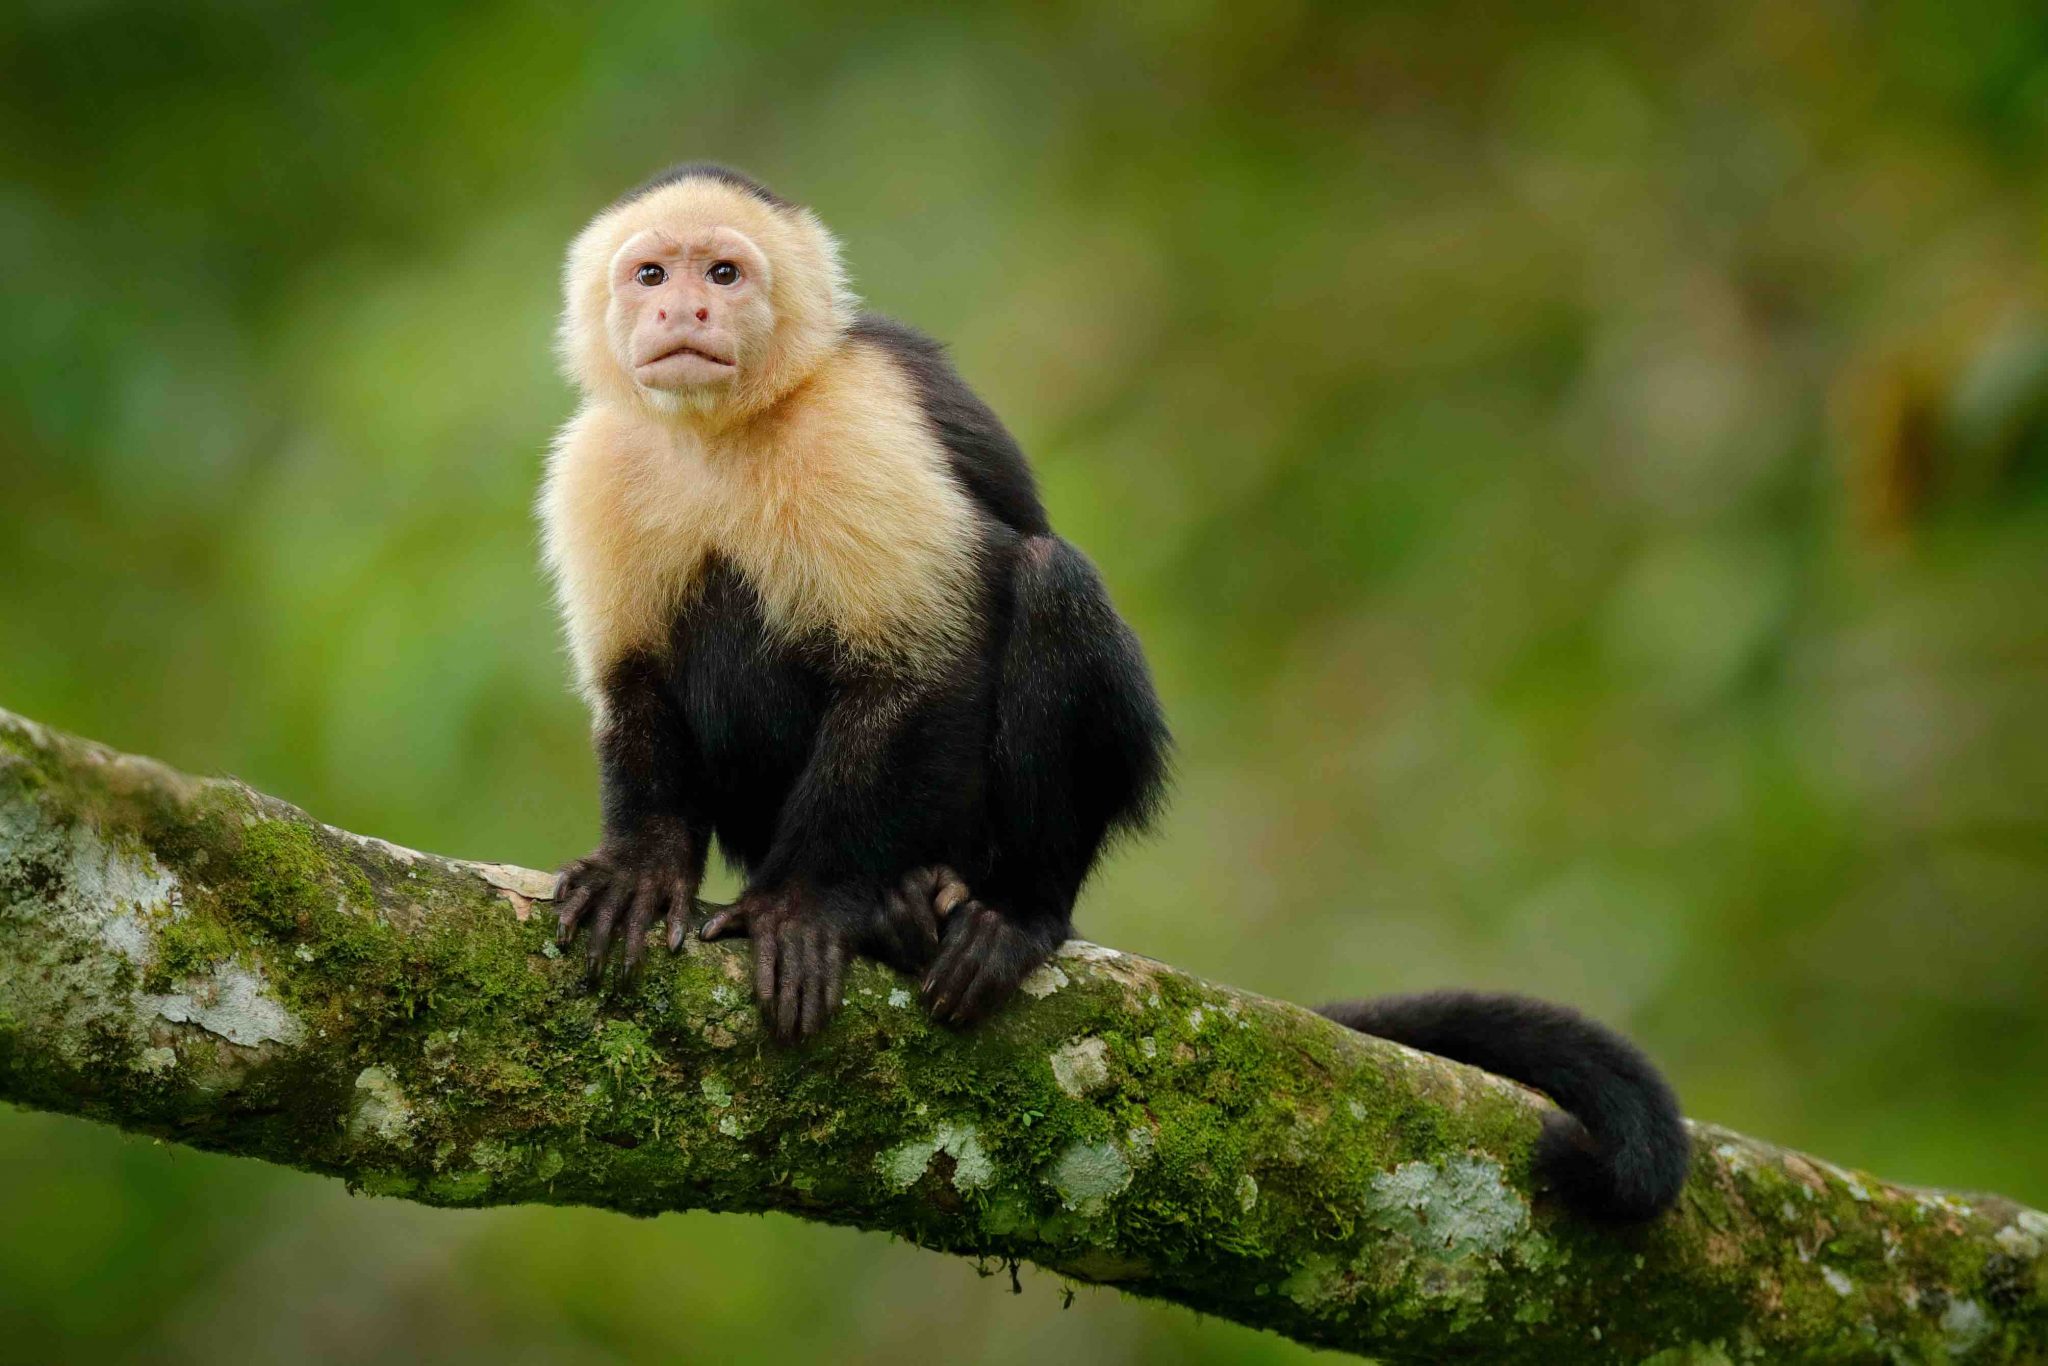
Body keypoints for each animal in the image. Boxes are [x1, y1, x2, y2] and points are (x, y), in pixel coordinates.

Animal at [540, 162, 1690, 1223]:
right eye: (652, 273)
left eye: (724, 274)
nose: (683, 312)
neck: (721, 431)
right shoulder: (595, 461)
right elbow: (633, 687)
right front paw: (642, 868)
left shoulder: (856, 423)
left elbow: (917, 664)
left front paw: (804, 908)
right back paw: (904, 908)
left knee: (1050, 585)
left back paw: (996, 909)